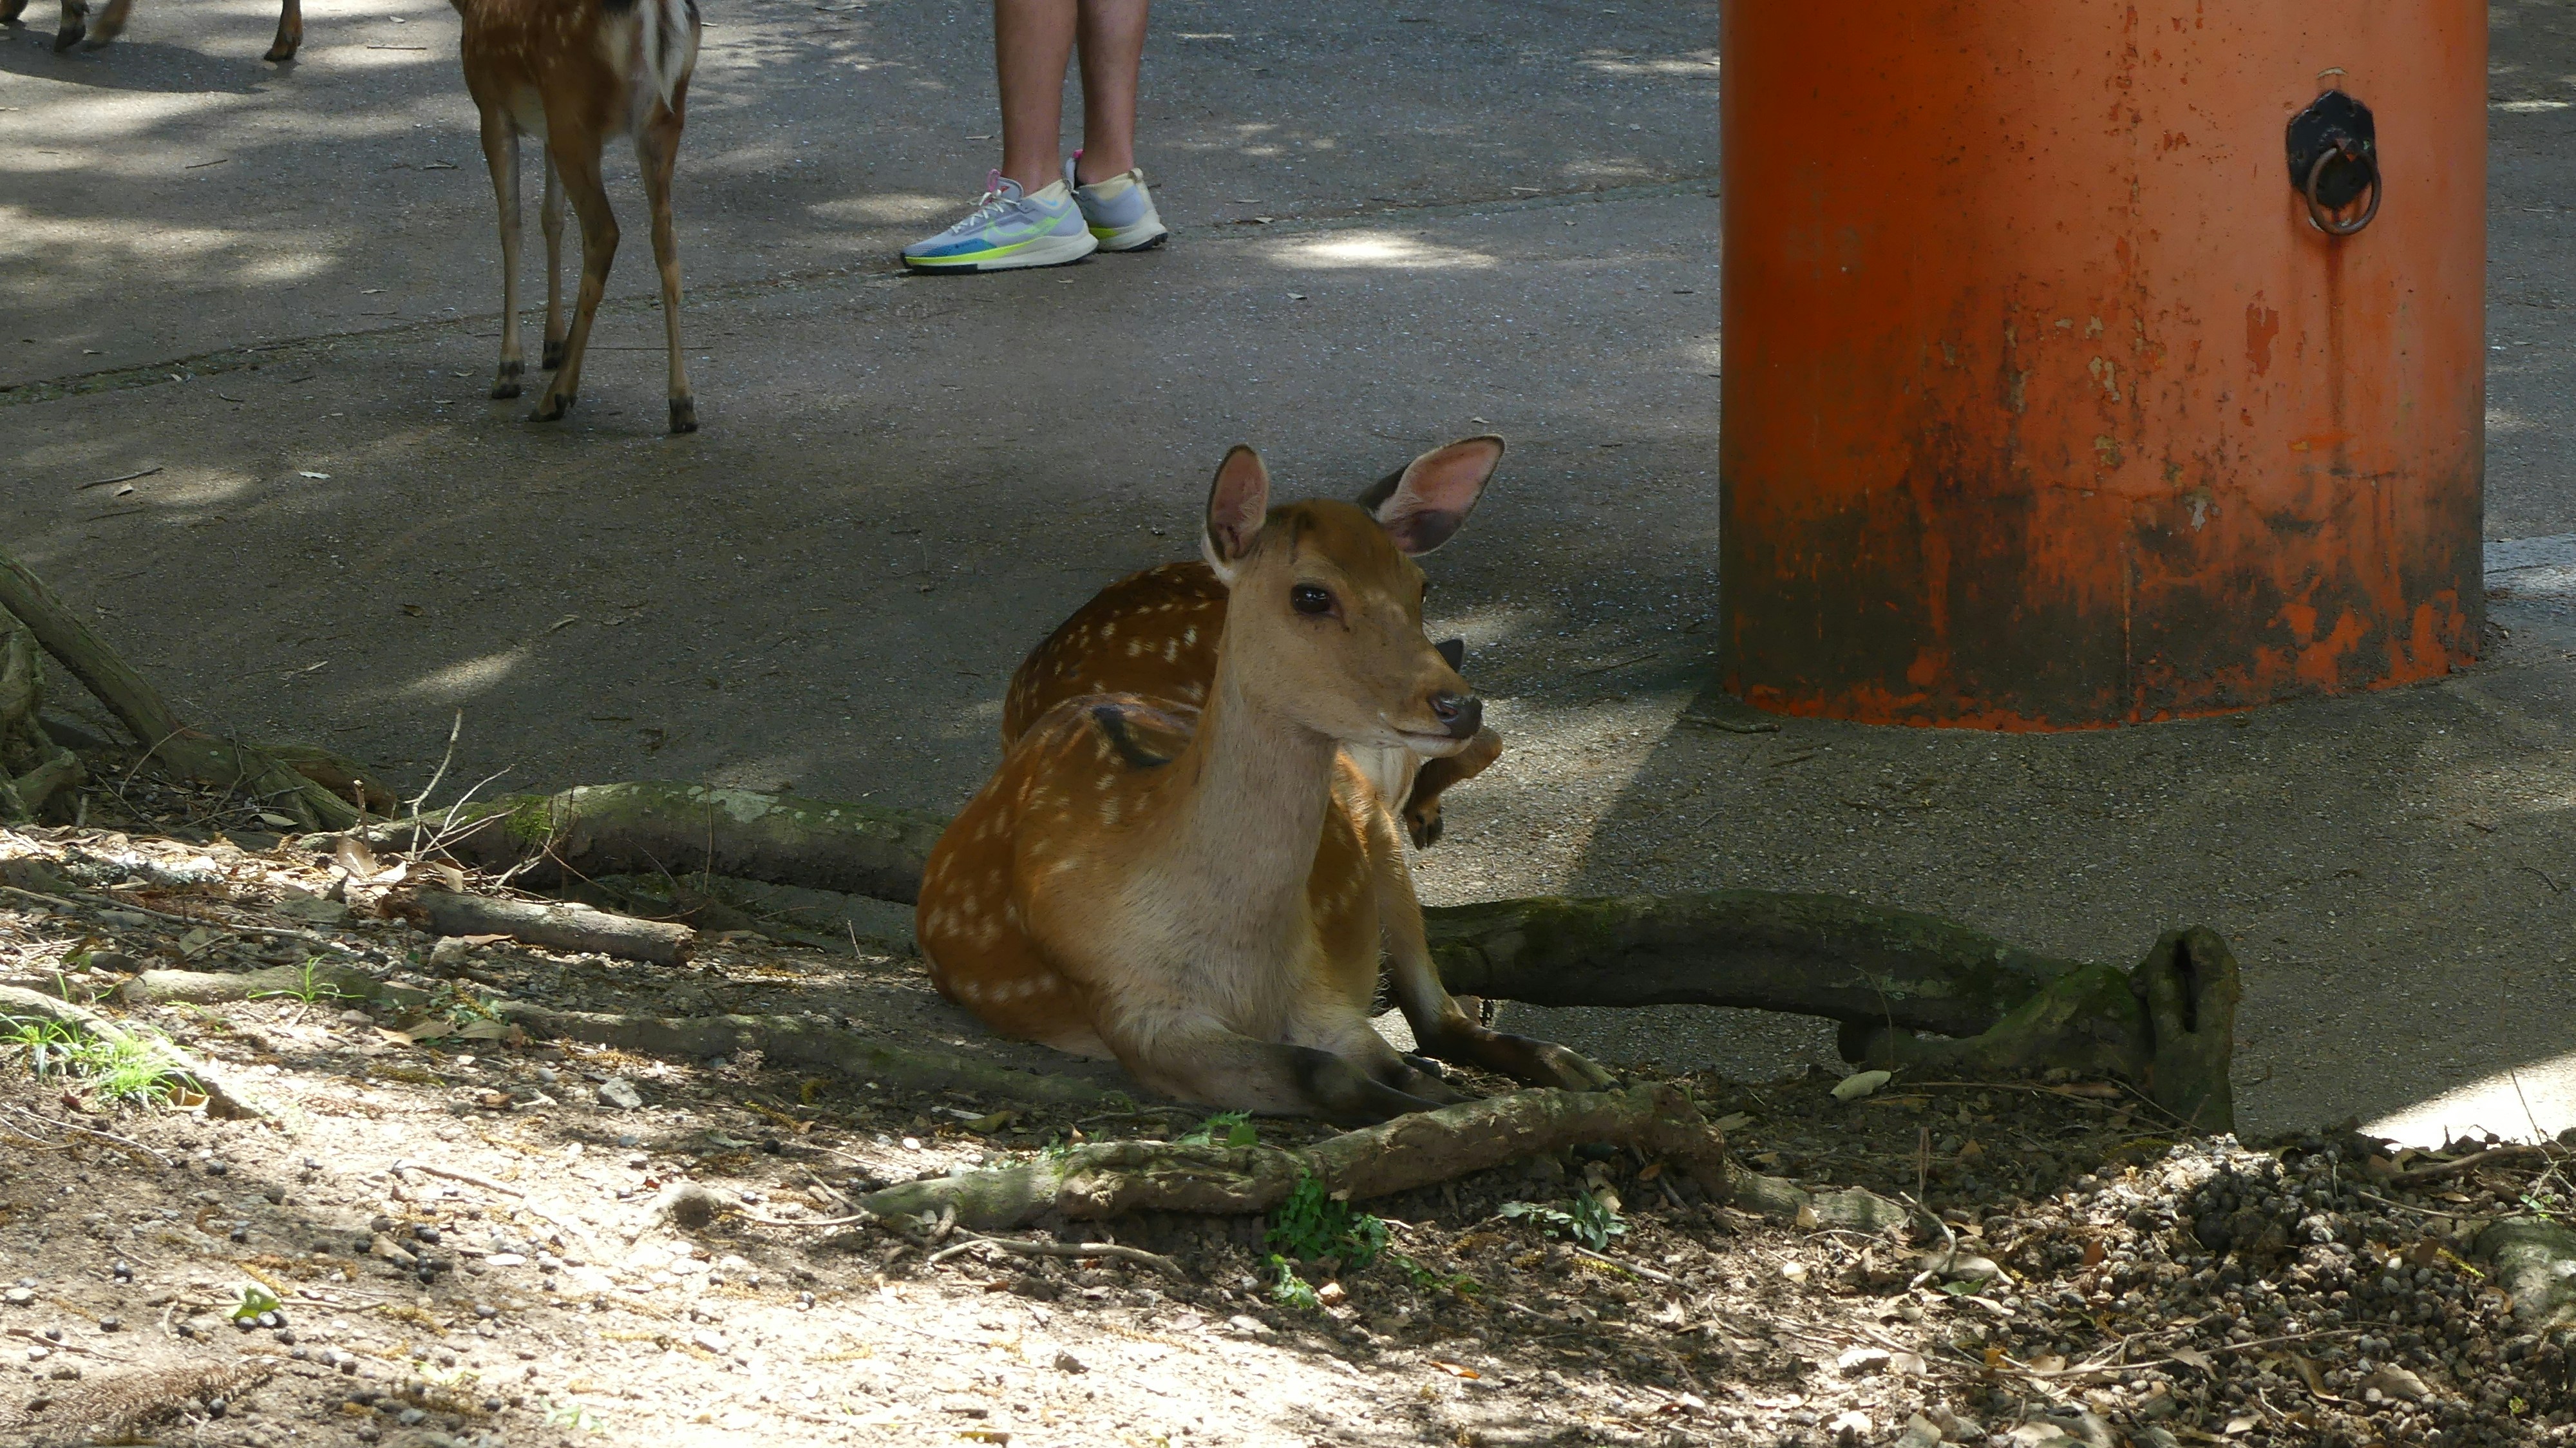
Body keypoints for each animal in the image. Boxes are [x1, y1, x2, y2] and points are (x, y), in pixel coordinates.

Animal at [454, 0, 700, 433]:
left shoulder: (492, 104)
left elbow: (510, 225)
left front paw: (509, 366)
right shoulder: (546, 126)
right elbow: (552, 218)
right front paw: (552, 344)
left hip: (574, 113)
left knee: (604, 233)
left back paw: (556, 396)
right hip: (661, 120)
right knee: (665, 237)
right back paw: (681, 403)